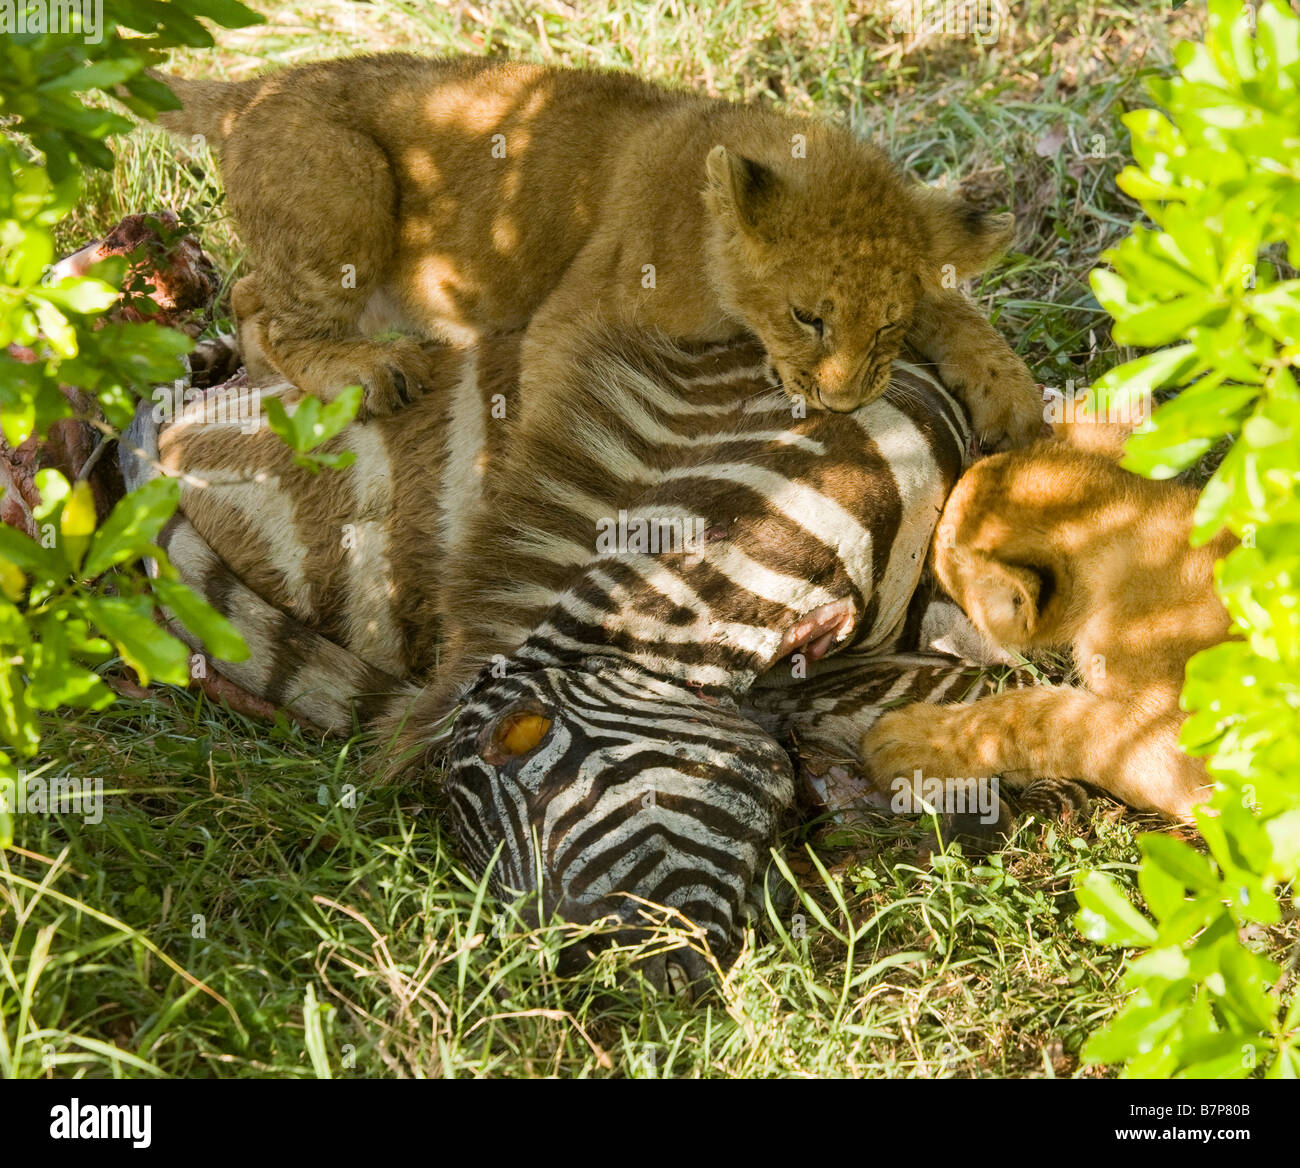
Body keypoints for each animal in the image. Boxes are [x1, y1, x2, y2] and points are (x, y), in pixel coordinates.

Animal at [150, 54, 1040, 441]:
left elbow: (956, 308)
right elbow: (548, 404)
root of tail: (249, 88)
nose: (848, 403)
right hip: (347, 175)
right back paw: (363, 373)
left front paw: (1017, 402)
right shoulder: (572, 314)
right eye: (806, 317)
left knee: (251, 300)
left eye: (887, 326)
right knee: (273, 309)